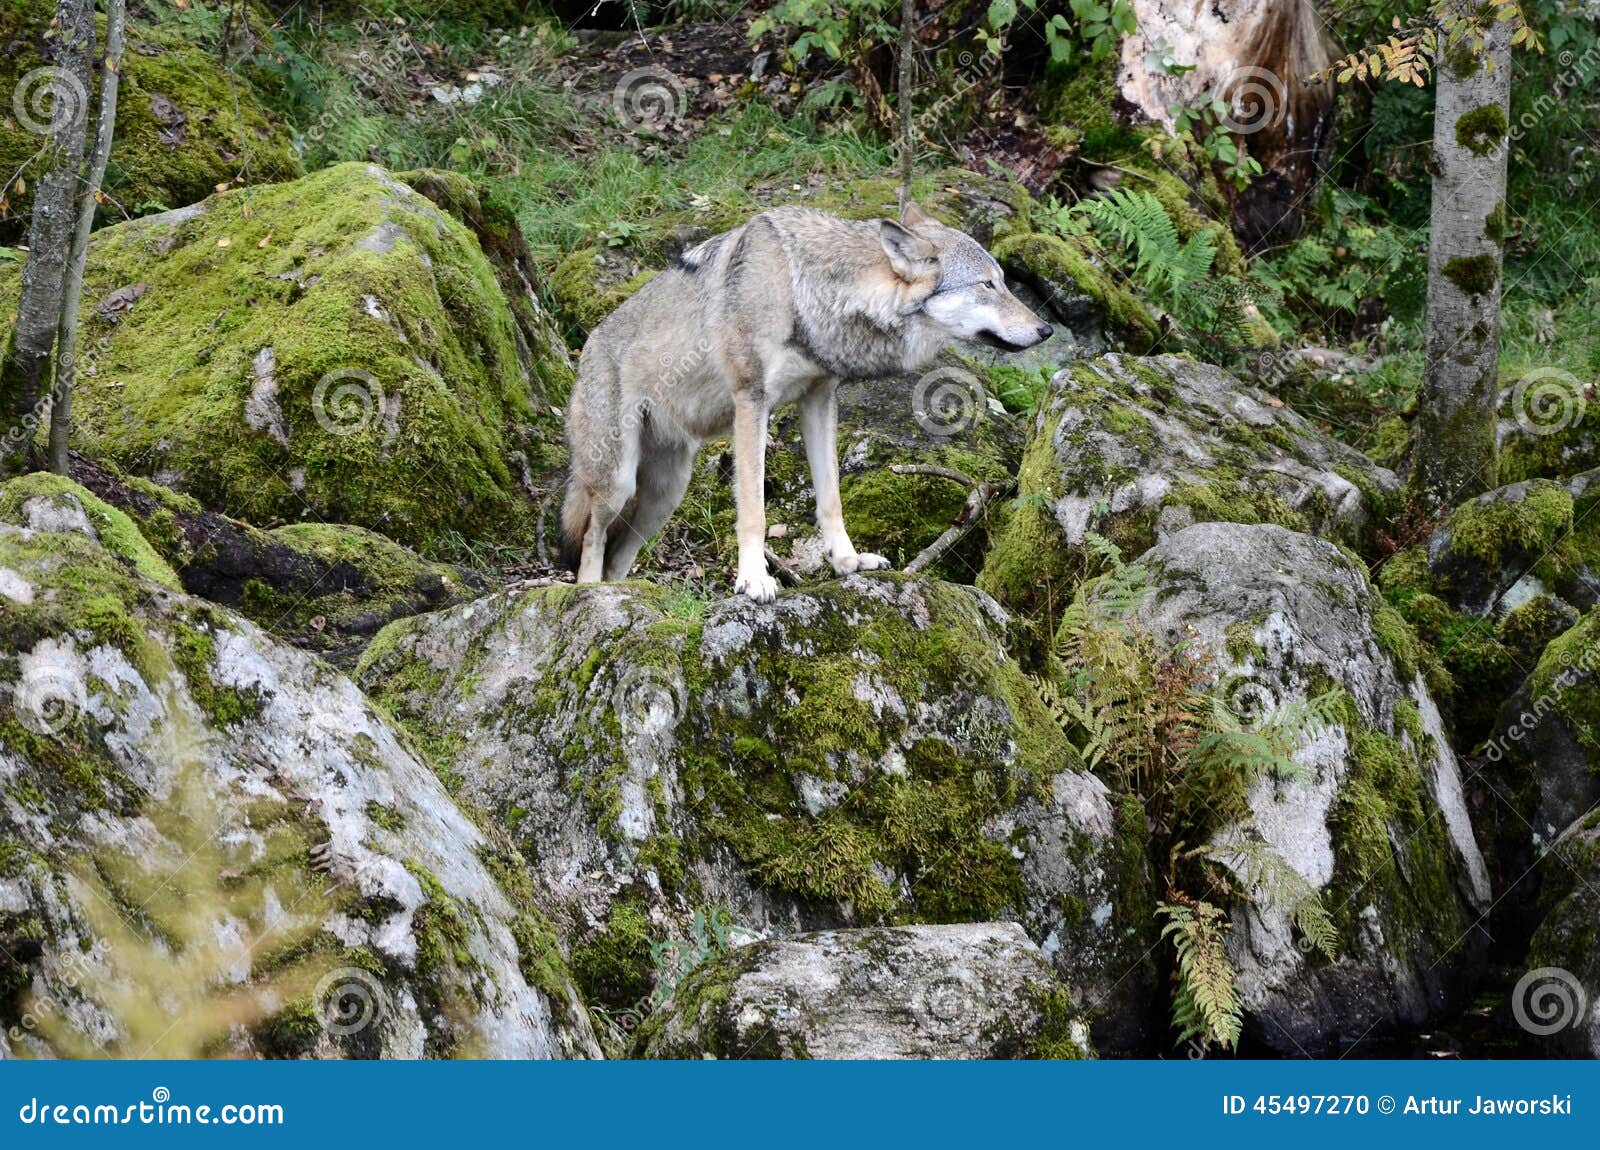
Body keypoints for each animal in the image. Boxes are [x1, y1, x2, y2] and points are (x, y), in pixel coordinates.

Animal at [560, 201, 1052, 602]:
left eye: (1005, 283)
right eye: (987, 285)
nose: (1046, 330)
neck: (807, 291)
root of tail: (587, 347)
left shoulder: (819, 397)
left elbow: (831, 497)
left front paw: (849, 562)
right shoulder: (751, 401)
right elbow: (754, 509)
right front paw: (753, 580)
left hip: (666, 496)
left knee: (619, 555)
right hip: (618, 483)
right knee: (591, 540)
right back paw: (587, 595)